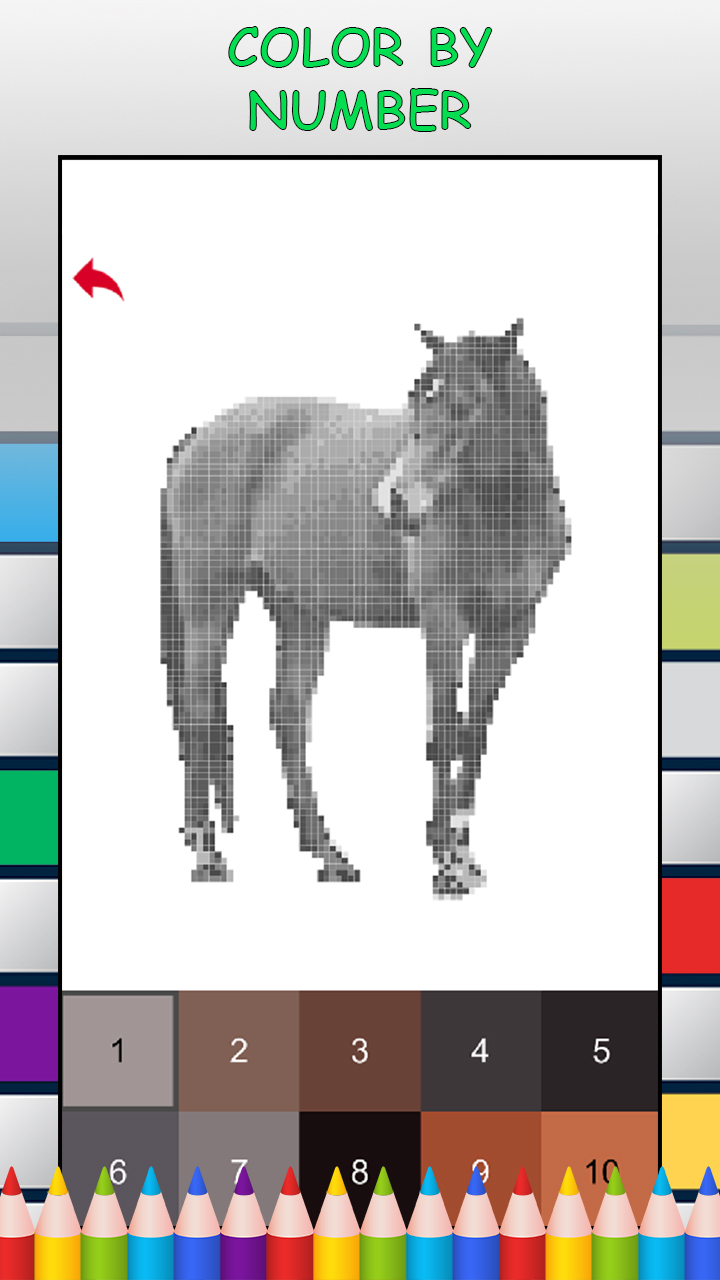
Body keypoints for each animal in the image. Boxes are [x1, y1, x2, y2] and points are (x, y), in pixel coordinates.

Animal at [161, 320, 570, 896]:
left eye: (467, 404)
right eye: (417, 399)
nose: (394, 501)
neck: (502, 513)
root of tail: (199, 437)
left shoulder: (511, 627)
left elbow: (476, 731)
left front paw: (464, 855)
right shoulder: (443, 620)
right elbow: (444, 727)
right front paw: (446, 863)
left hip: (300, 610)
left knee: (288, 716)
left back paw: (329, 856)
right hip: (210, 600)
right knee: (199, 710)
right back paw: (207, 855)